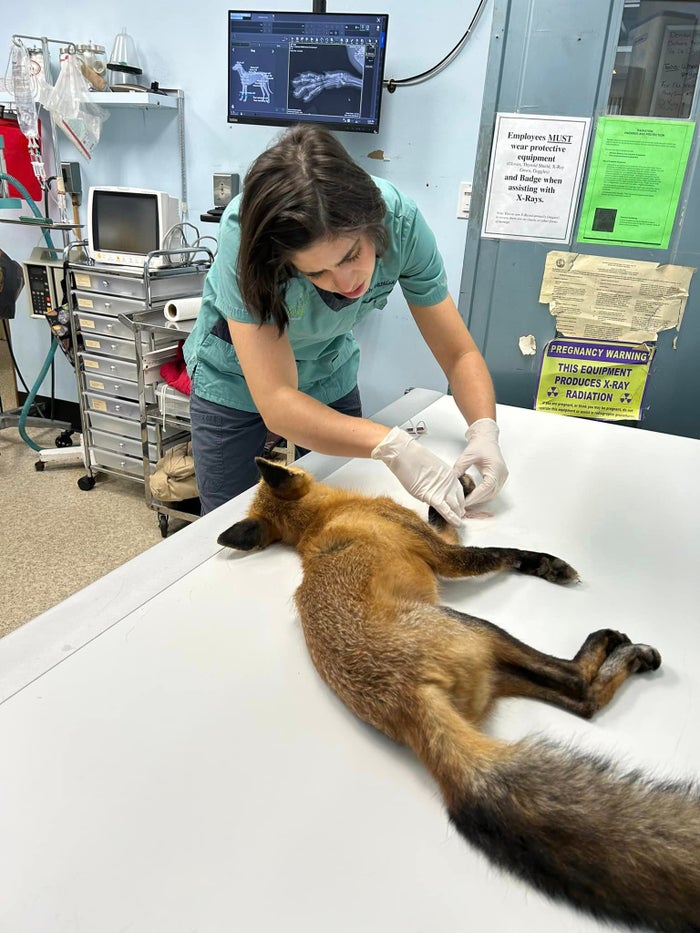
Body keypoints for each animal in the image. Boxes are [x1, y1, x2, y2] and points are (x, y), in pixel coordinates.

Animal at [217, 457, 700, 933]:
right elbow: (498, 553)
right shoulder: (444, 556)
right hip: (480, 629)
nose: (279, 450)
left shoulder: (435, 538)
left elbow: (442, 514)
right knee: (576, 682)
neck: (324, 519)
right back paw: (621, 649)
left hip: (496, 667)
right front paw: (545, 563)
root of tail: (409, 705)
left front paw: (460, 484)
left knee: (580, 699)